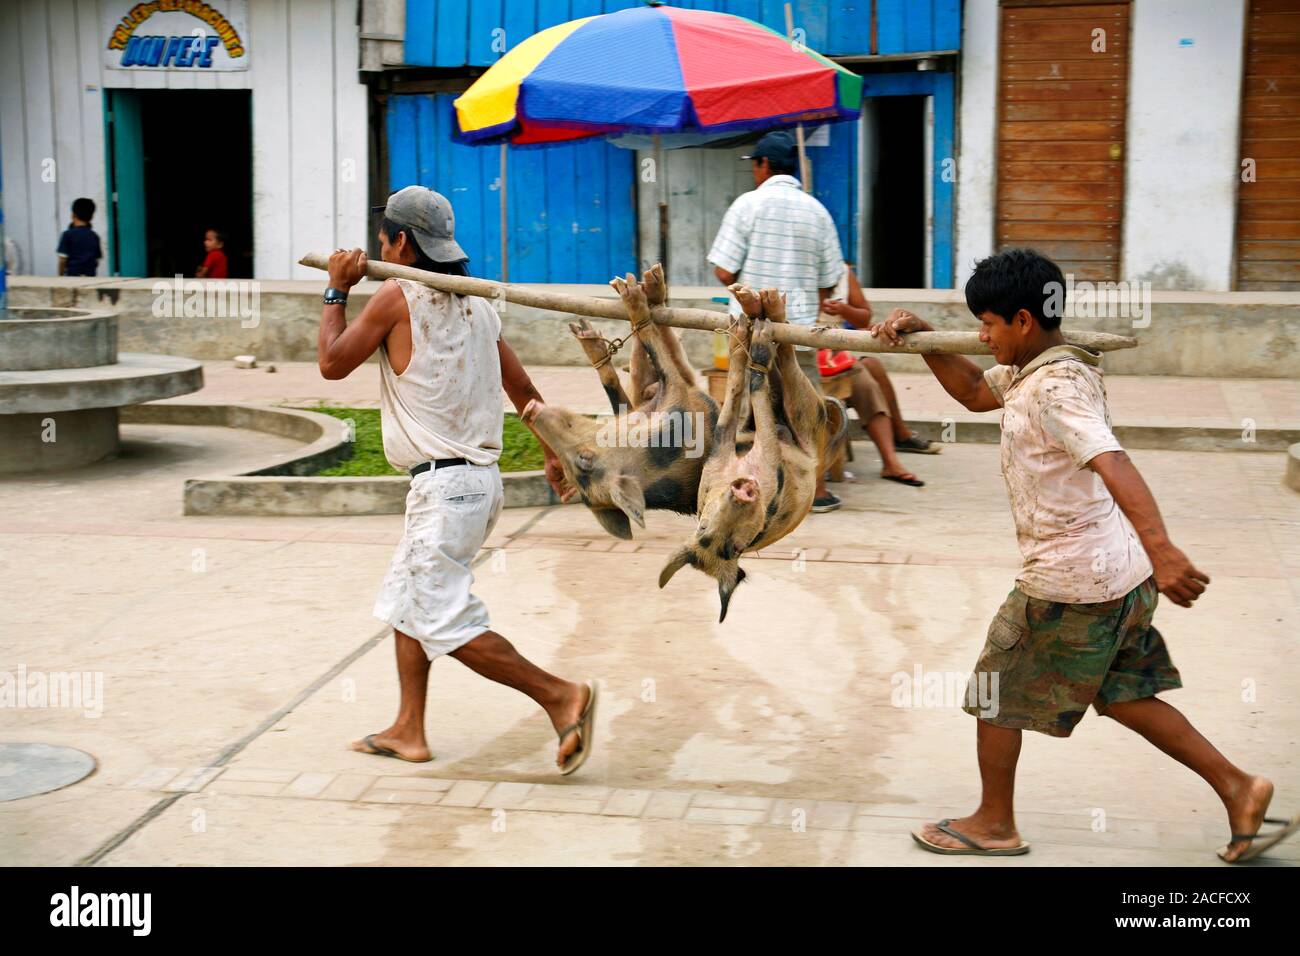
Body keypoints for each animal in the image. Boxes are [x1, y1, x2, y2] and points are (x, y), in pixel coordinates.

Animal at [521, 264, 719, 541]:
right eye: (574, 469)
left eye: (583, 460)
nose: (528, 411)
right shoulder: (672, 404)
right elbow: (657, 355)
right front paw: (633, 301)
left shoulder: (666, 409)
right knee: (658, 359)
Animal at [657, 285, 846, 621]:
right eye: (707, 535)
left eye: (731, 547)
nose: (743, 491)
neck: (742, 469)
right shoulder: (749, 457)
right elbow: (743, 396)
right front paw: (748, 340)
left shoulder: (726, 453)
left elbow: (735, 395)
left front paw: (740, 336)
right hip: (809, 417)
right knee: (785, 372)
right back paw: (760, 312)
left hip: (801, 418)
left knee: (778, 368)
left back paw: (755, 307)